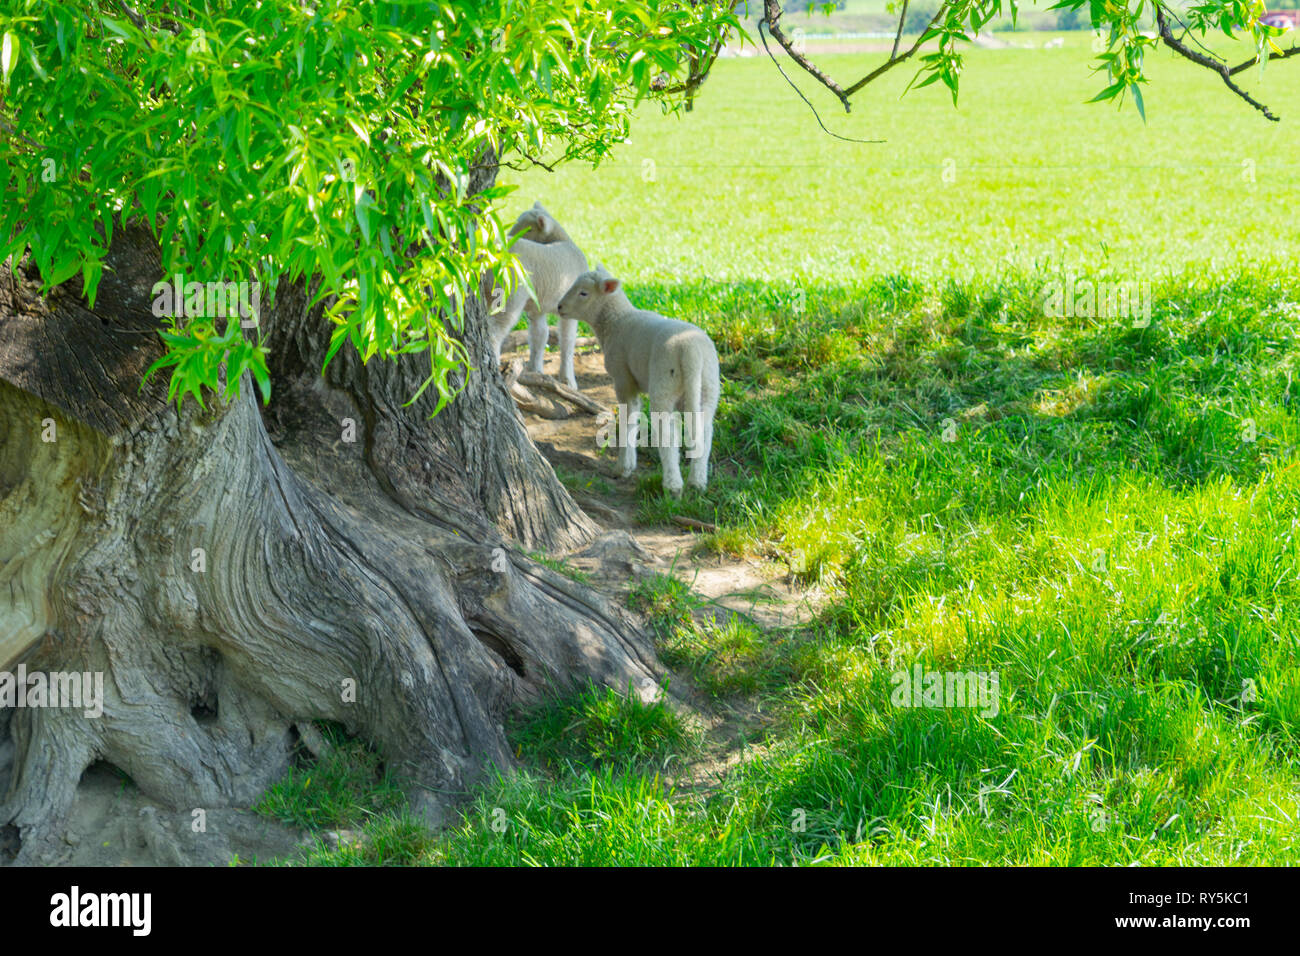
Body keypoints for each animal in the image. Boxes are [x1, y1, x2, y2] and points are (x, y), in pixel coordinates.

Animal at [488, 202, 588, 389]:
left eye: (526, 230)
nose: (508, 236)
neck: (560, 240)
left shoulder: (537, 308)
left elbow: (540, 336)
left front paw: (536, 369)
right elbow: (568, 341)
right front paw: (568, 380)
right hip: (509, 296)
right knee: (495, 332)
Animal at [557, 266, 720, 496]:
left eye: (583, 293)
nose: (559, 307)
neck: (617, 321)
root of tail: (691, 350)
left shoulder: (623, 378)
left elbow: (629, 417)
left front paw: (624, 467)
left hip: (664, 381)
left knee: (667, 434)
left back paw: (673, 485)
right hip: (708, 385)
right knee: (704, 431)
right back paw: (697, 482)